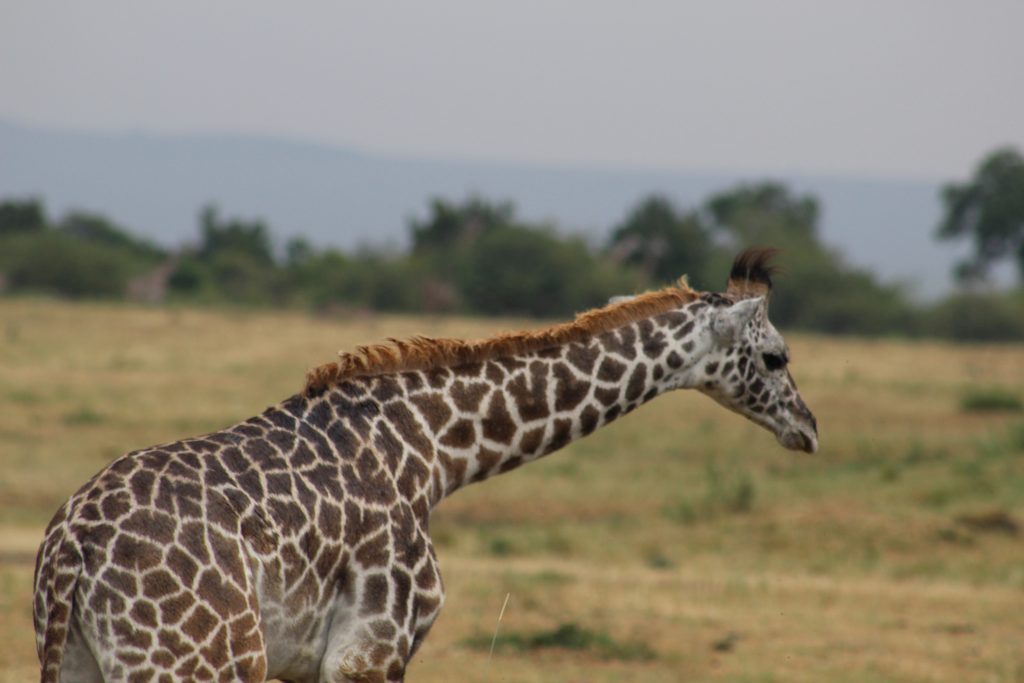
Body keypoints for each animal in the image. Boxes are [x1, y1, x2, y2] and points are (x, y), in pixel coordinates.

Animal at [34, 248, 817, 683]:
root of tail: (71, 549)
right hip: (197, 661)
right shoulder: (369, 652)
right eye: (777, 355)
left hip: (77, 660)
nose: (808, 429)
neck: (436, 450)